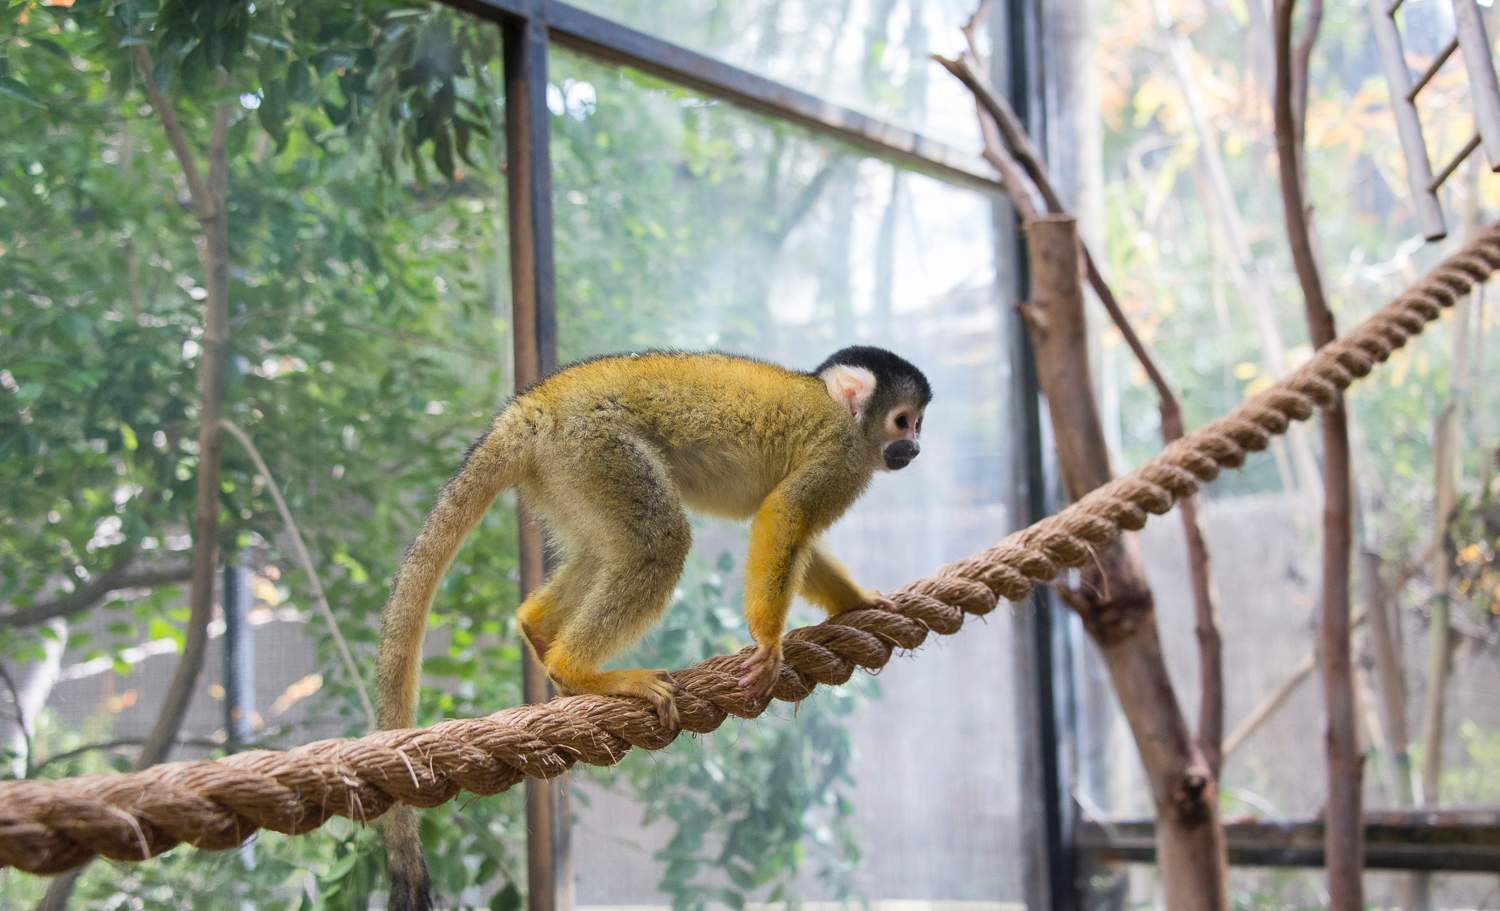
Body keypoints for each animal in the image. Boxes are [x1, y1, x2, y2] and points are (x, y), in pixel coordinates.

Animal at [375, 345, 930, 911]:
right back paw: (580, 668)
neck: (844, 415)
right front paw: (769, 641)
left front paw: (857, 600)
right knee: (659, 541)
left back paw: (540, 631)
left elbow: (792, 531)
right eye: (902, 420)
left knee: (606, 548)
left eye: (918, 423)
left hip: (561, 472)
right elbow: (784, 514)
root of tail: (530, 407)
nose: (914, 447)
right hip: (595, 446)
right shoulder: (840, 457)